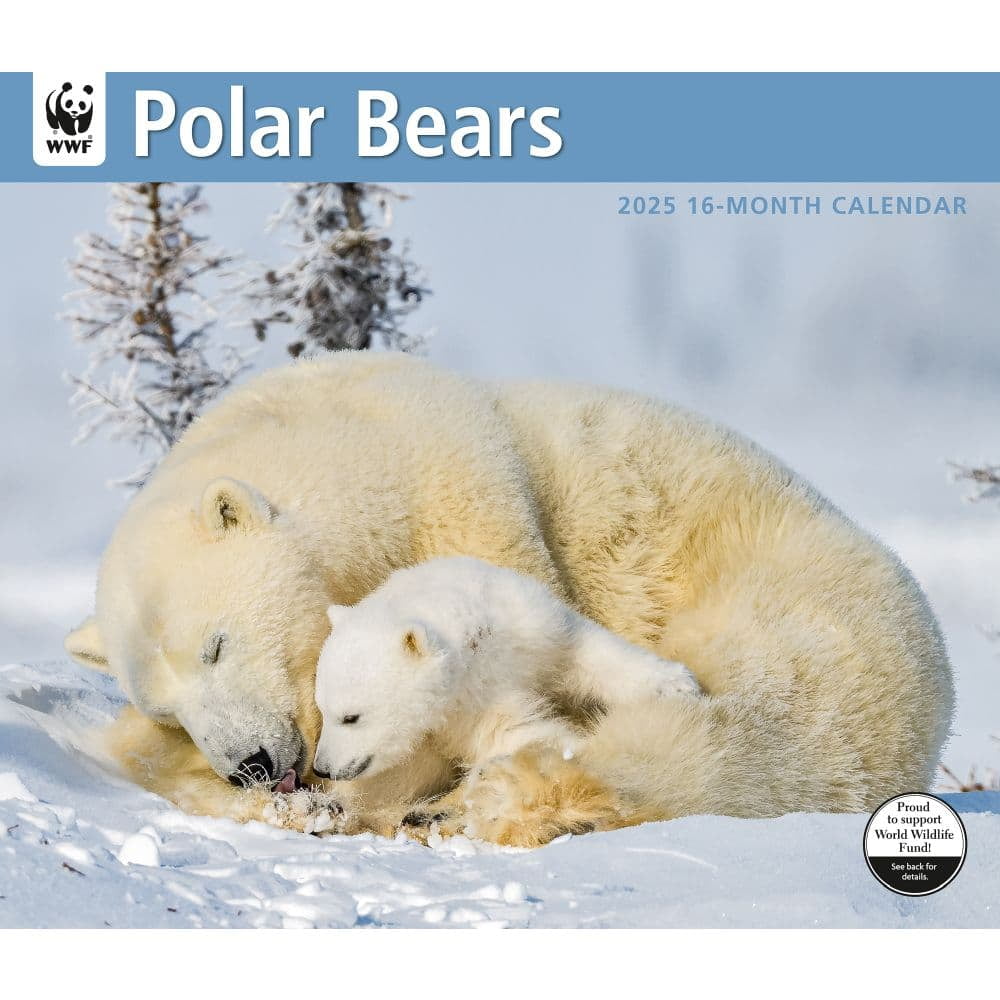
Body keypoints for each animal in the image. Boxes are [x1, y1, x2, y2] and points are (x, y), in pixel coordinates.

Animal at [310, 556, 701, 843]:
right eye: (323, 710)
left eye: (350, 717)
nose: (322, 768)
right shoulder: (457, 718)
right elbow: (514, 738)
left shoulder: (533, 627)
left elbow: (588, 652)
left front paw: (679, 685)